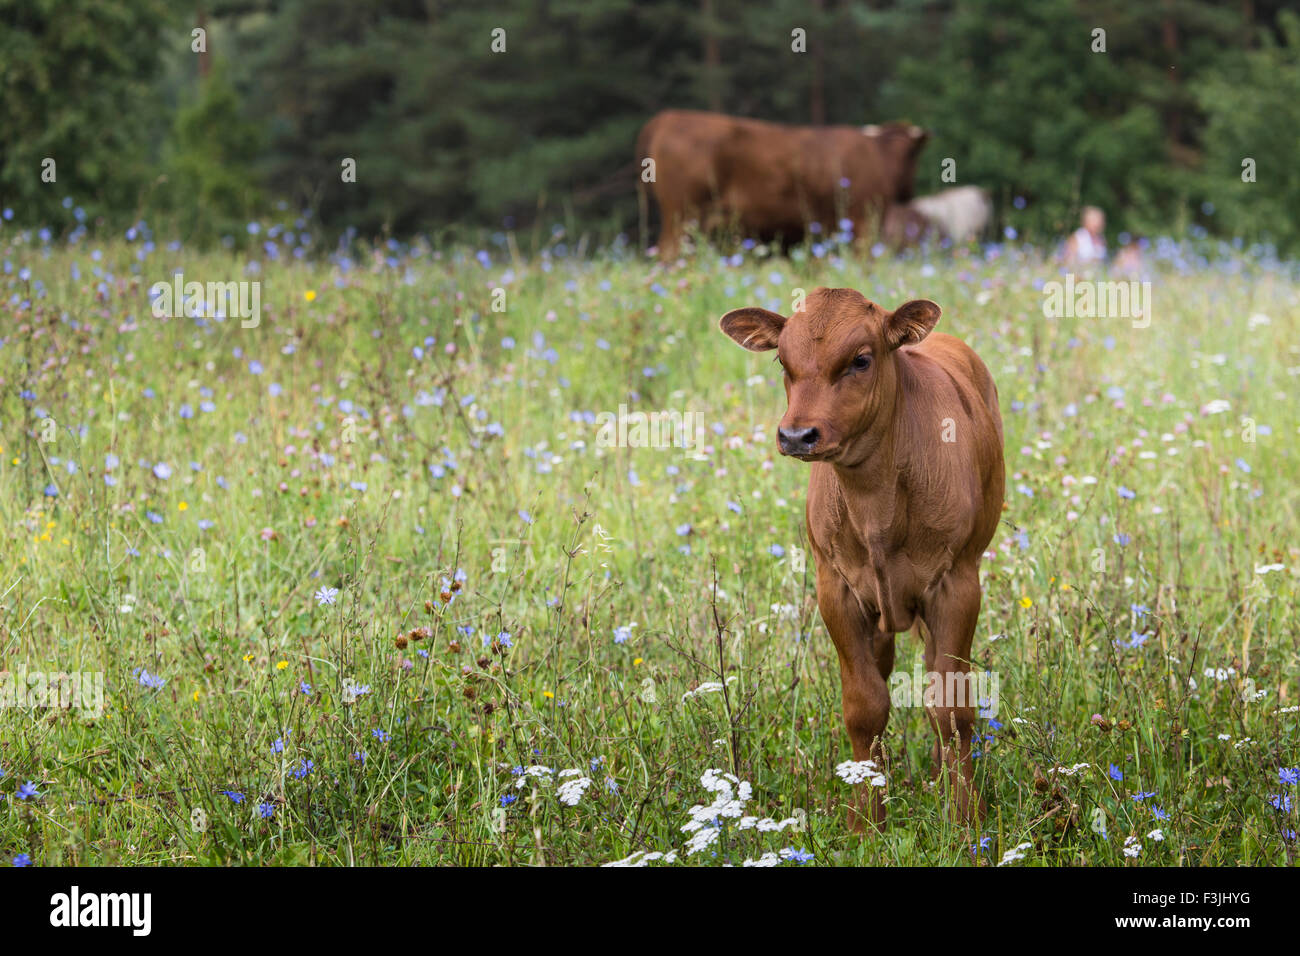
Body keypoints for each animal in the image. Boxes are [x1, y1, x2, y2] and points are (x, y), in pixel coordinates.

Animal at [637, 110, 928, 260]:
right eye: (914, 156)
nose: (909, 192)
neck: (879, 154)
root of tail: (670, 116)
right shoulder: (862, 224)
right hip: (682, 215)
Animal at [718, 287, 1005, 828]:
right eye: (783, 361)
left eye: (860, 359)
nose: (797, 435)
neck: (877, 505)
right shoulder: (837, 588)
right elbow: (865, 706)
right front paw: (865, 820)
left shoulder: (958, 583)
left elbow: (952, 708)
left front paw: (964, 820)